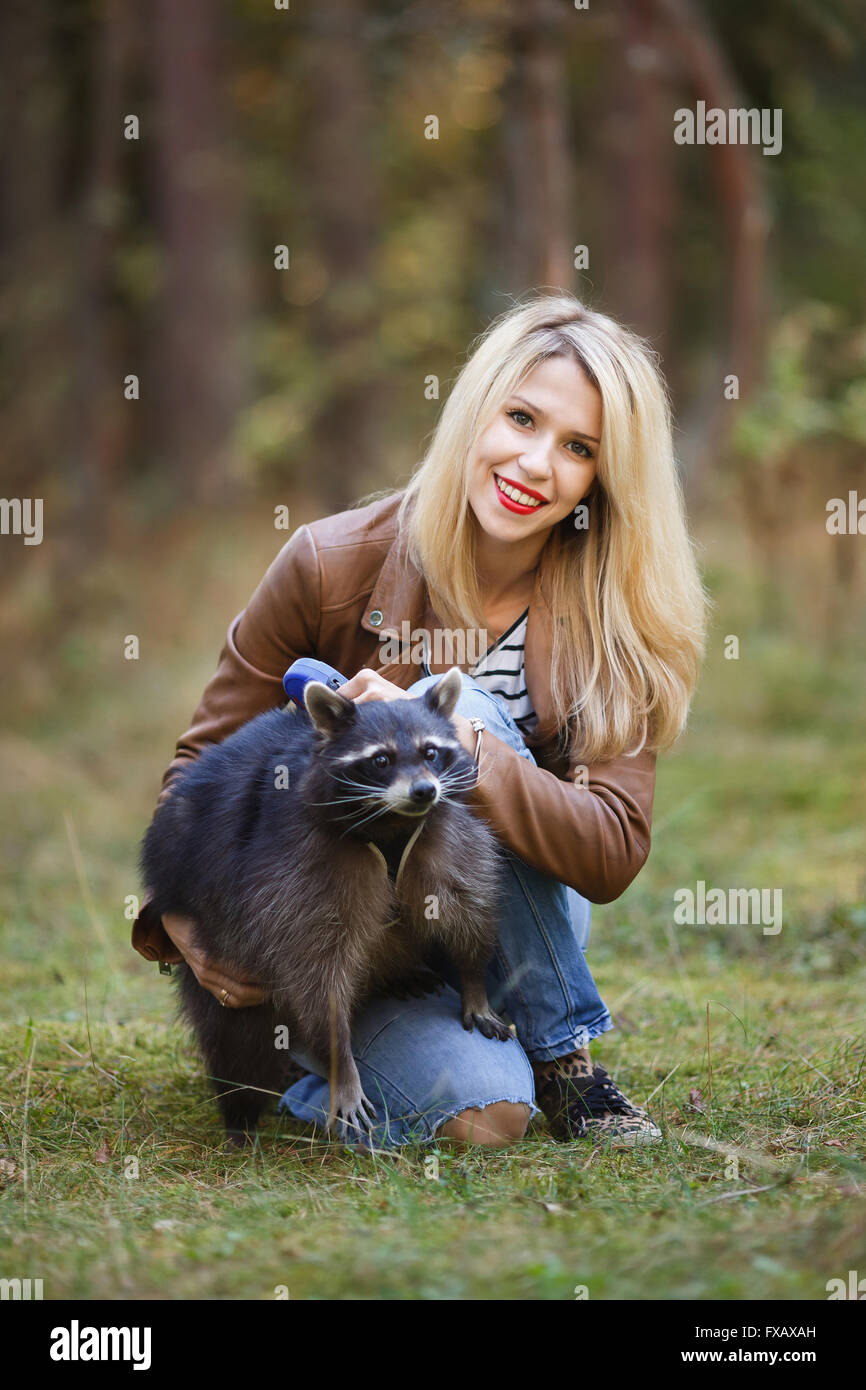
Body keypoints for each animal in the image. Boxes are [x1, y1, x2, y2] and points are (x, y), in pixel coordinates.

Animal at [139, 666, 509, 1144]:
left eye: (431, 752)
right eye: (381, 760)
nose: (425, 791)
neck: (391, 822)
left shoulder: (443, 834)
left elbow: (468, 904)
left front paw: (473, 980)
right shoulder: (295, 865)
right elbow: (314, 973)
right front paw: (341, 1064)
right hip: (210, 925)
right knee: (235, 1035)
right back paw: (238, 1107)